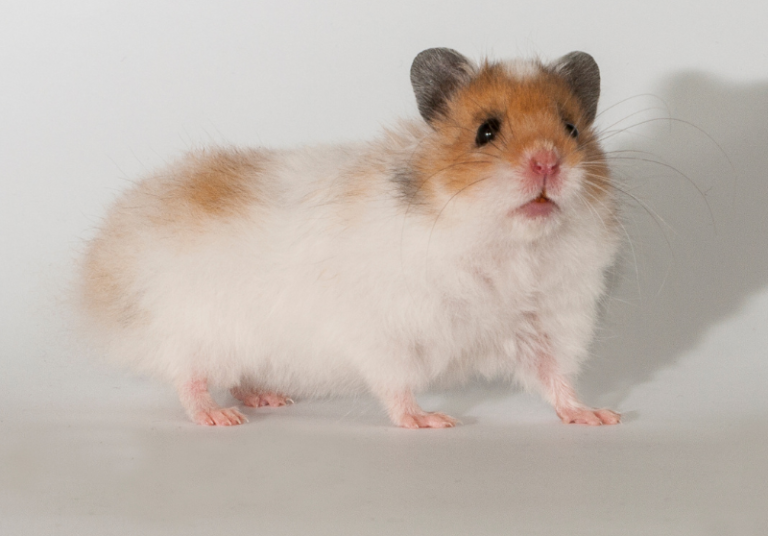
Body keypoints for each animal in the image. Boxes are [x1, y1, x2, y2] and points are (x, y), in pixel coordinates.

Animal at [78, 48, 621, 428]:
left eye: (571, 129)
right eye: (486, 131)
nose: (547, 162)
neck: (506, 243)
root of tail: (100, 268)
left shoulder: (546, 324)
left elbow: (556, 379)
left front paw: (597, 417)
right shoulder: (386, 331)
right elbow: (395, 385)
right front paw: (431, 421)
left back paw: (267, 398)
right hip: (191, 329)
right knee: (188, 379)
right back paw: (221, 418)